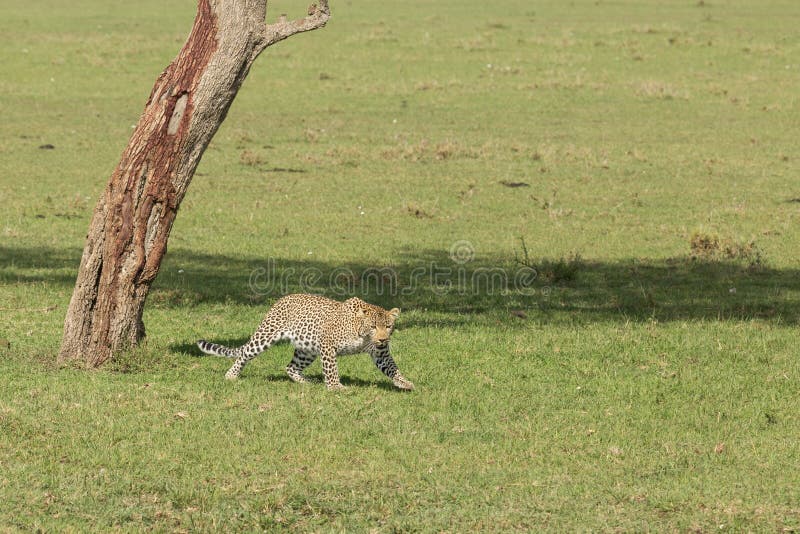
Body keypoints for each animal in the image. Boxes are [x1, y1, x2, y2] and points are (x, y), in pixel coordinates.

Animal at [197, 294, 414, 391]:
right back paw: (231, 375)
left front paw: (404, 383)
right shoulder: (328, 345)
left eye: (388, 326)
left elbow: (392, 368)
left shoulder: (381, 353)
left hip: (307, 350)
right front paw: (335, 387)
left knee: (290, 367)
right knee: (244, 354)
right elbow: (331, 369)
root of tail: (282, 299)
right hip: (266, 335)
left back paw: (306, 382)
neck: (361, 334)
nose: (383, 339)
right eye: (373, 326)